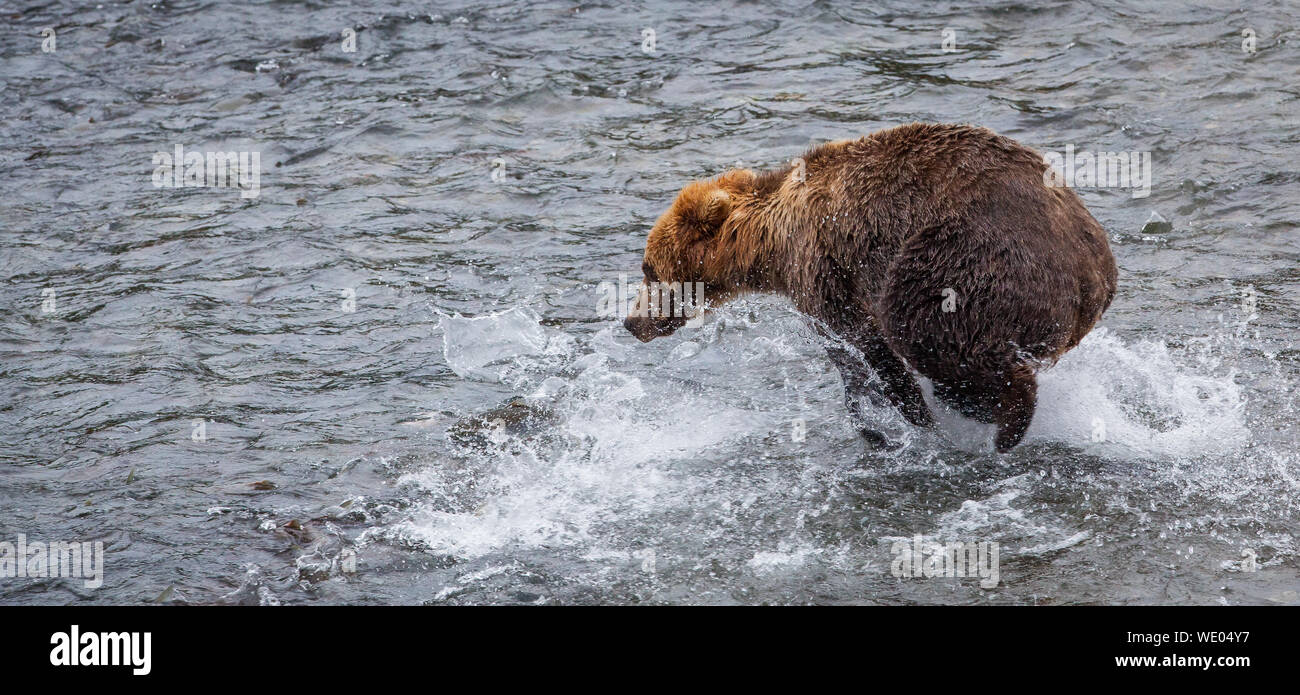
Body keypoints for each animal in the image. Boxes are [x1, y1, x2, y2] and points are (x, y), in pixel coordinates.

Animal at [624, 122, 1118, 452]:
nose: (631, 321)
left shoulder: (823, 271)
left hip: (967, 258)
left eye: (649, 269)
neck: (772, 240)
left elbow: (860, 348)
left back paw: (996, 418)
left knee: (924, 326)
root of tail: (1092, 272)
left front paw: (894, 419)